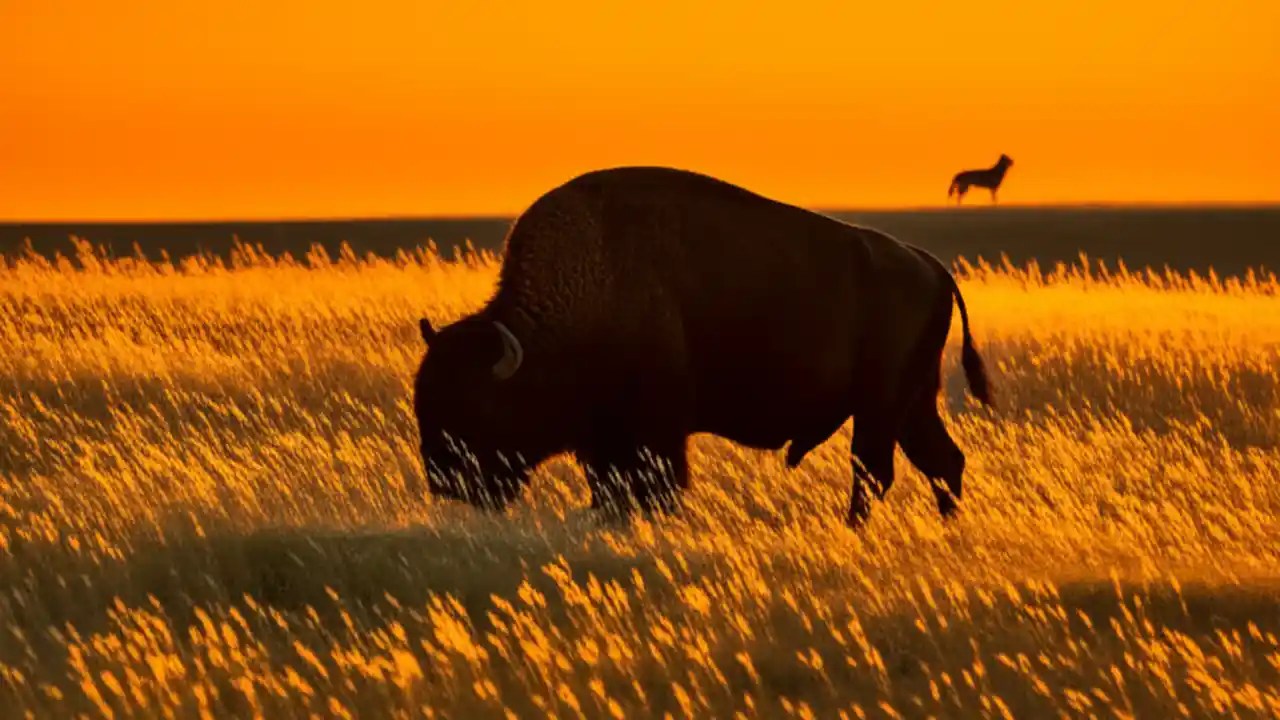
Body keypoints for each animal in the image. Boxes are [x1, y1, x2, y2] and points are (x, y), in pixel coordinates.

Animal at [413, 166, 993, 528]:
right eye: (425, 403)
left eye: (479, 406)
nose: (443, 481)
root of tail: (930, 266)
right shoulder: (603, 439)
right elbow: (609, 489)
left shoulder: (656, 429)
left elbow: (658, 485)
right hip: (911, 404)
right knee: (941, 461)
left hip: (879, 406)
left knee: (874, 471)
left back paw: (854, 529)